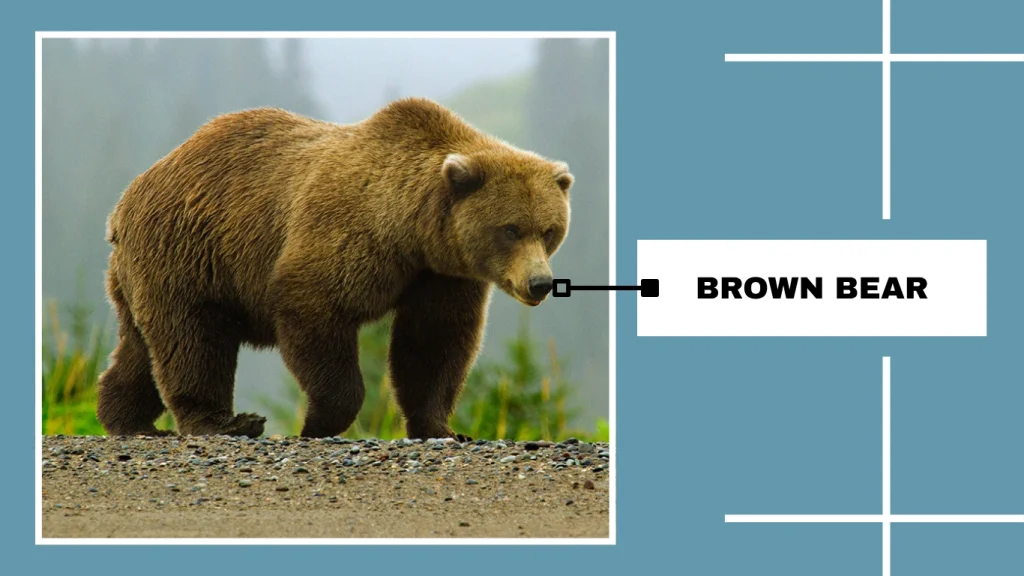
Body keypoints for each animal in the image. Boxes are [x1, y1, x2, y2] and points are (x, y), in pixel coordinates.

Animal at [95, 97, 574, 440]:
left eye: (549, 230)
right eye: (510, 229)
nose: (540, 282)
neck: (412, 231)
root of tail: (126, 200)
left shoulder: (441, 275)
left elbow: (434, 342)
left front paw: (442, 428)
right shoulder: (348, 234)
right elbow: (314, 308)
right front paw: (318, 422)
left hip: (146, 271)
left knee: (141, 346)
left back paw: (127, 418)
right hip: (191, 250)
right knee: (193, 339)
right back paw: (225, 422)